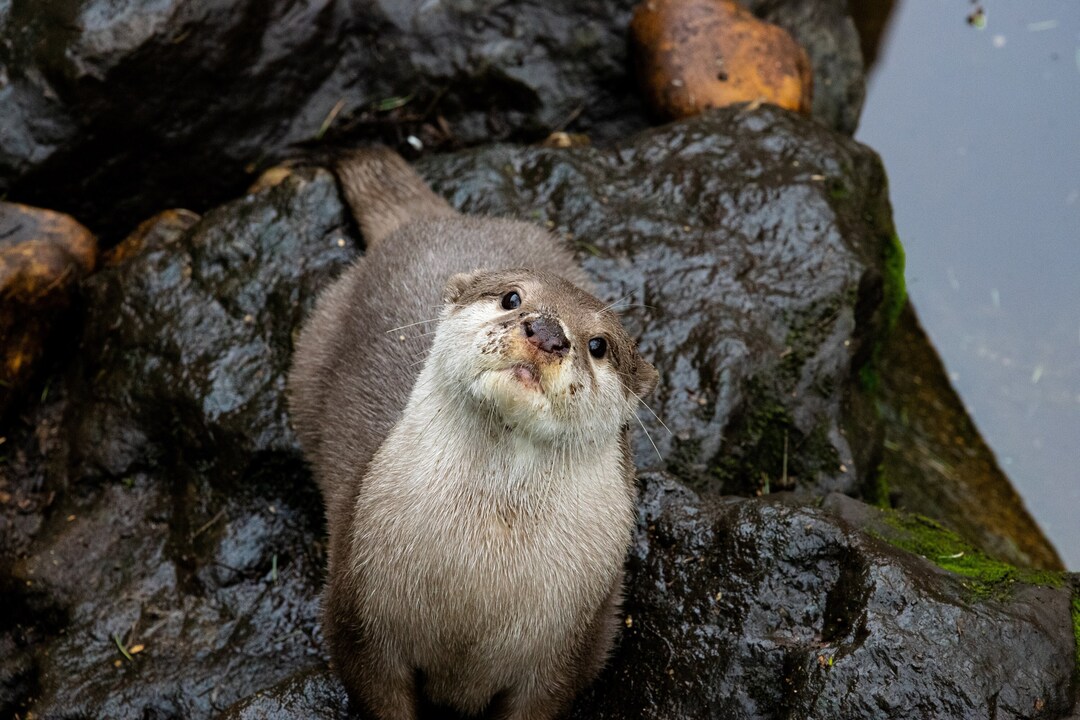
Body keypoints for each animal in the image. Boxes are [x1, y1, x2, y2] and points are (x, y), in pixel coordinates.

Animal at [287, 147, 657, 720]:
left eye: (598, 345)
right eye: (512, 297)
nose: (546, 331)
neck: (479, 580)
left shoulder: (570, 645)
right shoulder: (358, 605)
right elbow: (376, 687)